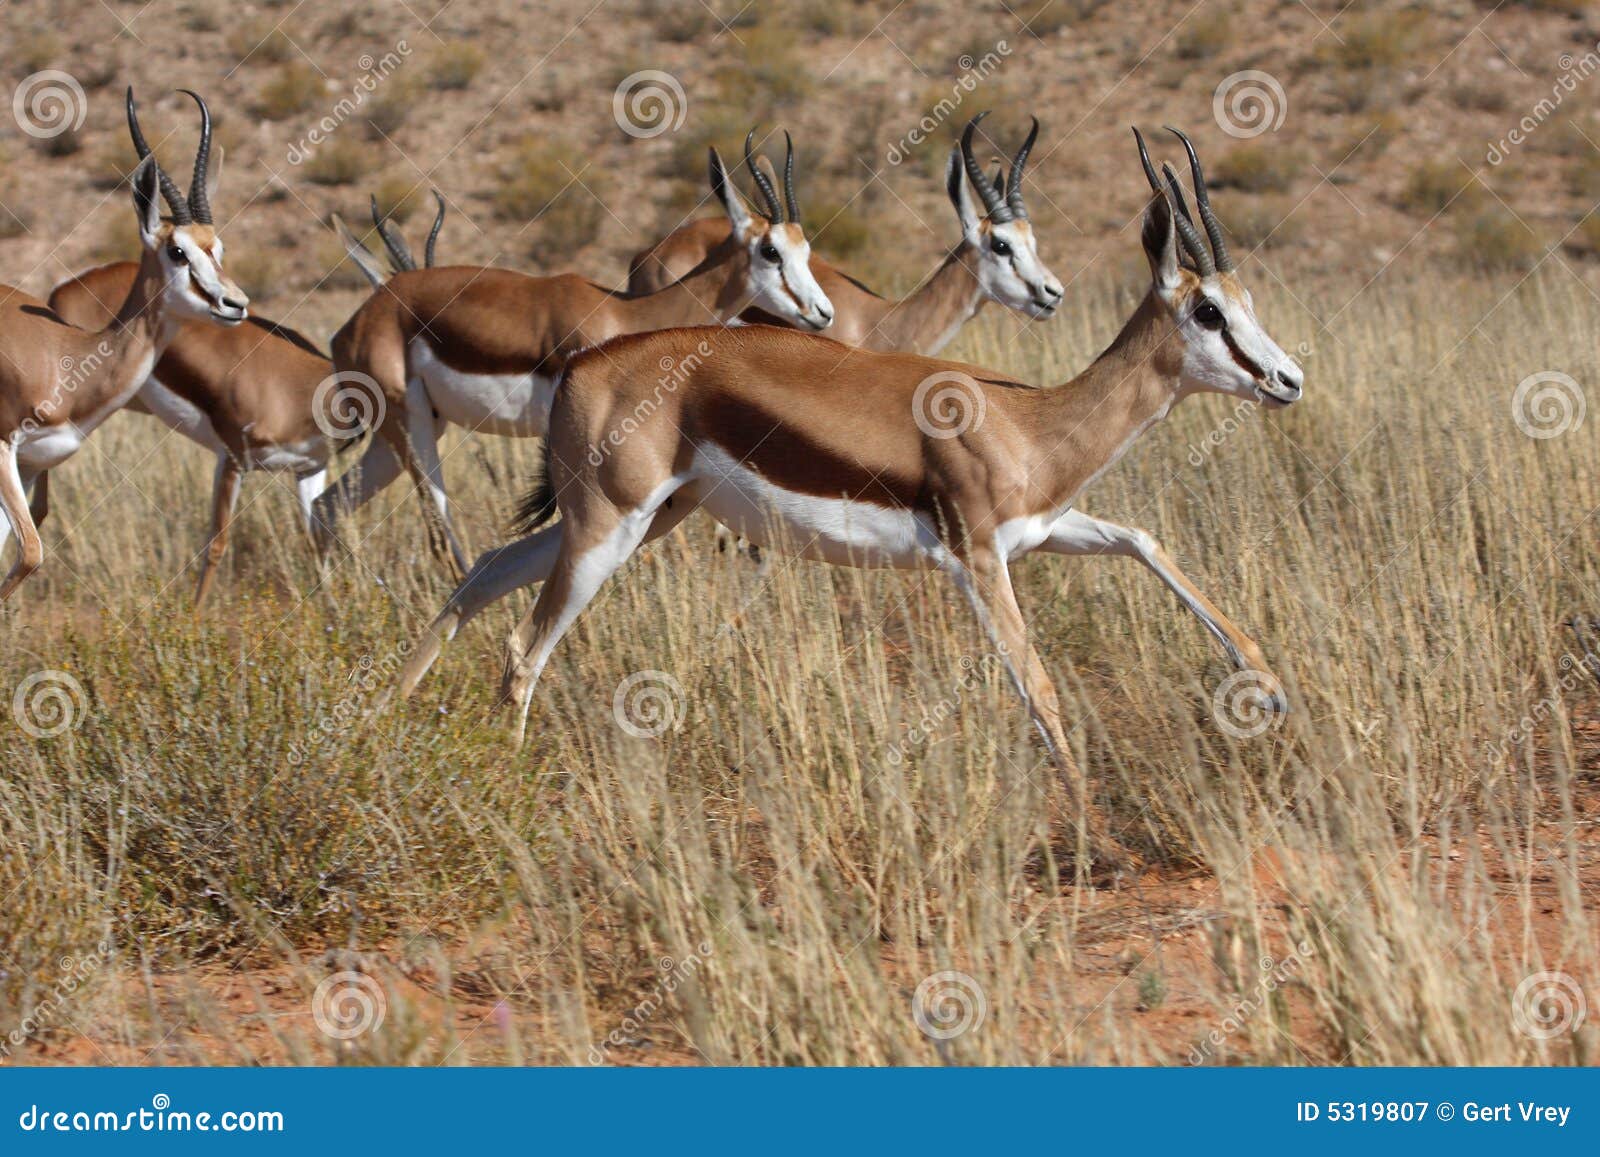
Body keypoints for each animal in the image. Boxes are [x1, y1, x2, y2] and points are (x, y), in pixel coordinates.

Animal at [0, 89, 247, 601]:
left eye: (218, 248)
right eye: (177, 251)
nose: (235, 304)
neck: (66, 360)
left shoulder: (30, 464)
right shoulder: (2, 449)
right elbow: (30, 554)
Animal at [309, 133, 836, 578]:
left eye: (806, 248)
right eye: (771, 250)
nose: (822, 313)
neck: (625, 313)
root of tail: (355, 322)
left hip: (403, 434)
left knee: (326, 507)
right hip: (412, 427)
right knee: (437, 528)